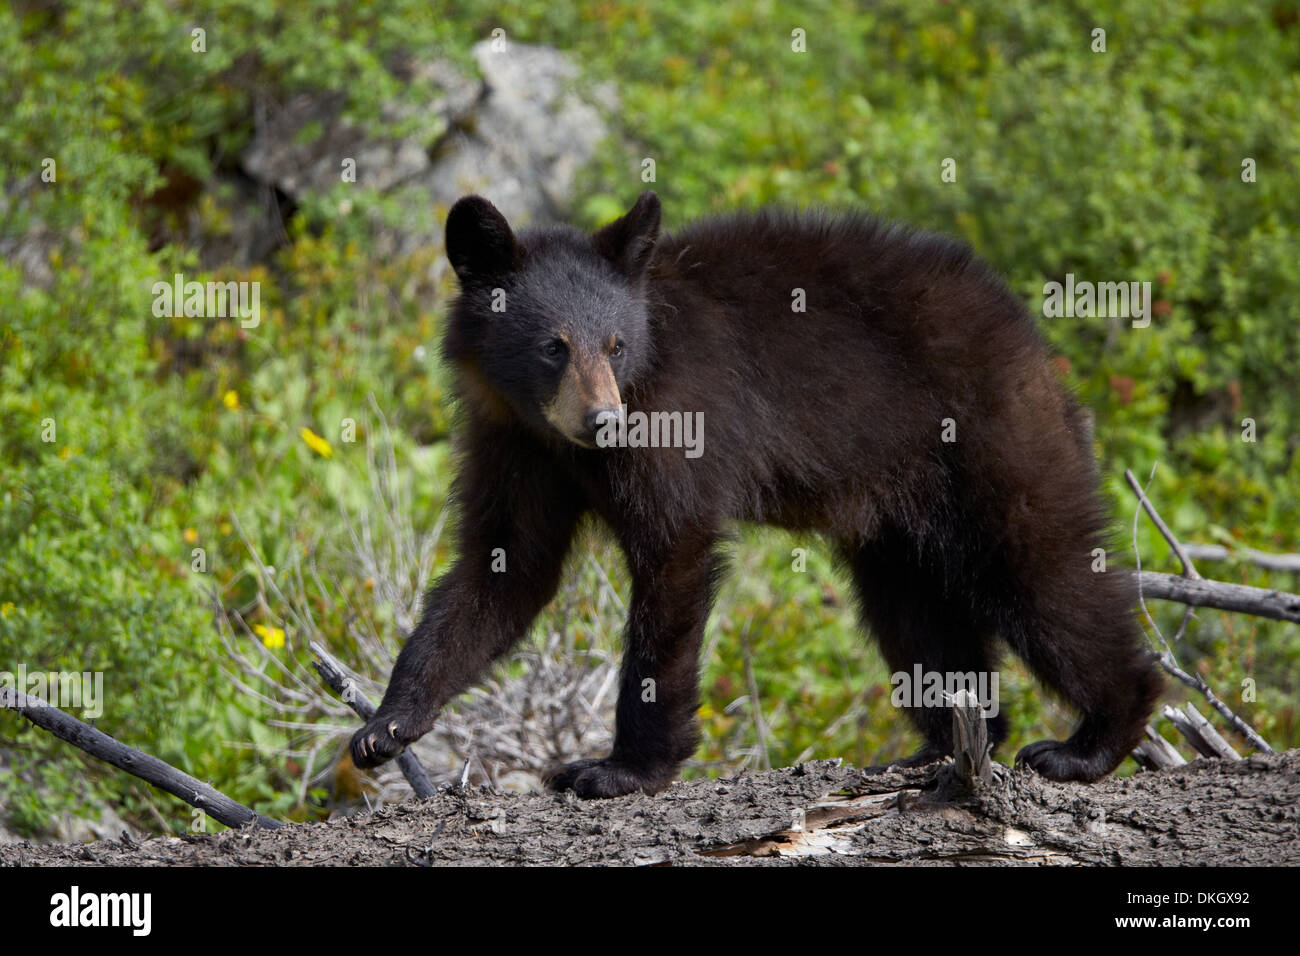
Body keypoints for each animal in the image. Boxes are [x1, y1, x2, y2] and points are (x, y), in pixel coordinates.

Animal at [349, 190, 1163, 798]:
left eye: (615, 344)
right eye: (554, 345)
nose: (606, 420)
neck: (565, 442)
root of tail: (1032, 336)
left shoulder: (674, 420)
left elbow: (673, 559)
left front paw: (619, 770)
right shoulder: (514, 445)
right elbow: (504, 565)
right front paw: (386, 724)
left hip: (990, 444)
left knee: (1042, 569)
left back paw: (1091, 740)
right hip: (899, 513)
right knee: (916, 614)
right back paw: (943, 747)